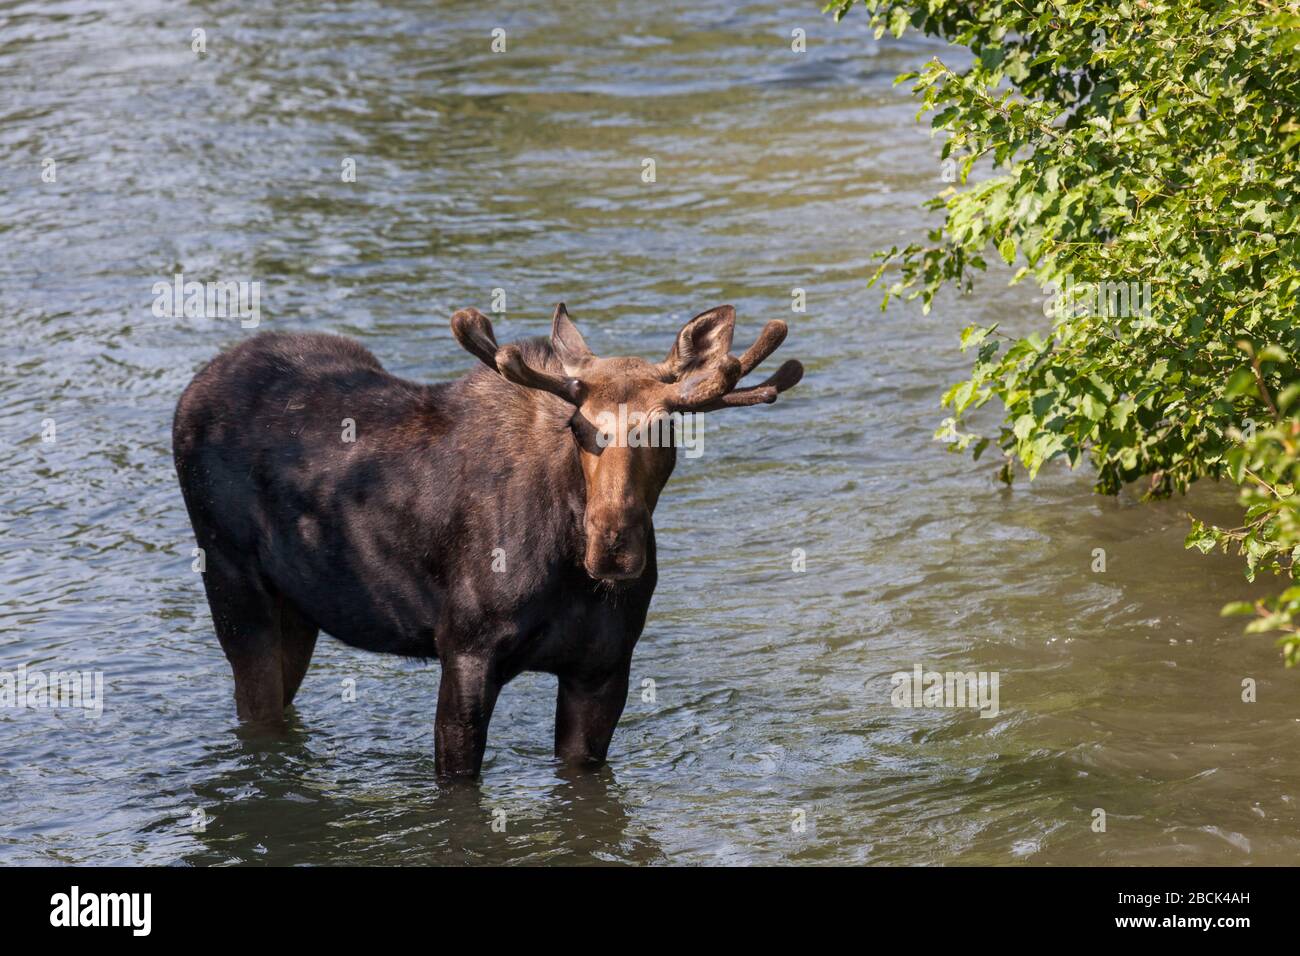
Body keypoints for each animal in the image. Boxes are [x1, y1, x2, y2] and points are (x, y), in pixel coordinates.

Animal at [172, 303, 802, 777]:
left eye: (665, 426)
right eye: (579, 426)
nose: (612, 546)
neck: (568, 569)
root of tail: (193, 387)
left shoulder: (604, 668)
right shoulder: (466, 651)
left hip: (298, 610)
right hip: (233, 585)